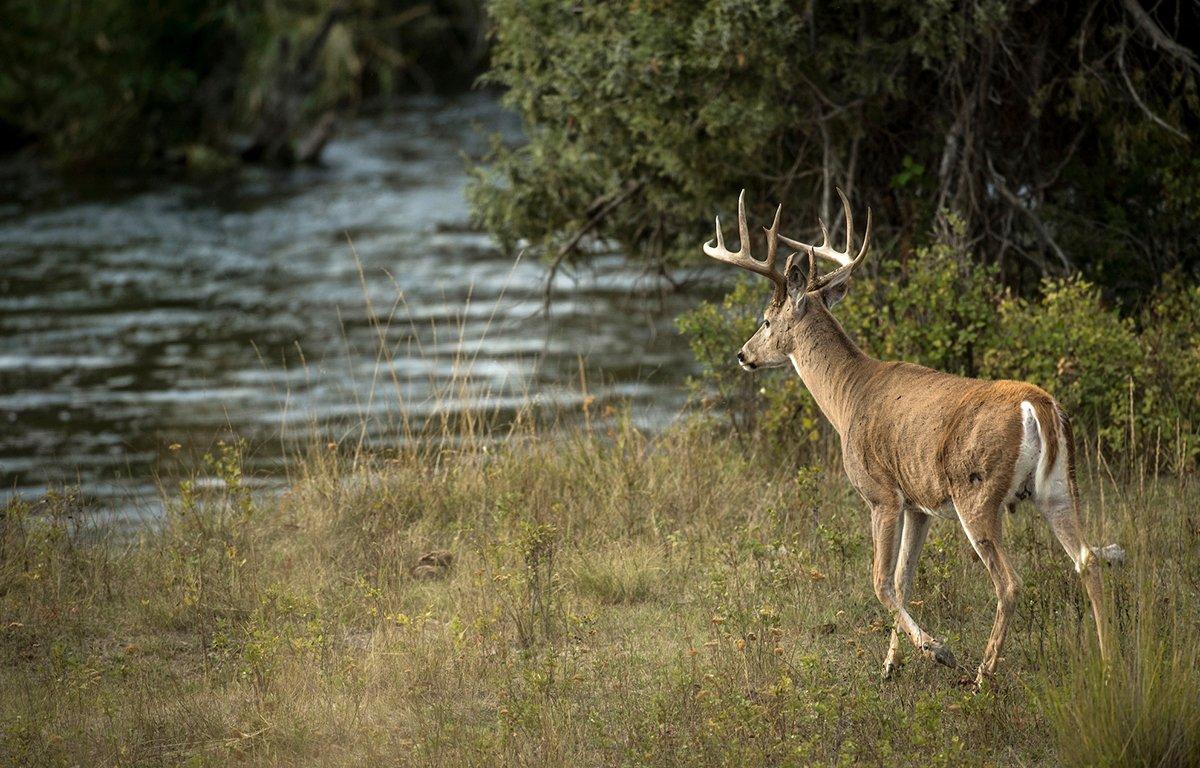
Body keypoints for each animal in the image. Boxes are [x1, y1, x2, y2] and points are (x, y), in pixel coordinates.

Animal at [705, 190, 1118, 681]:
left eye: (767, 320)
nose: (743, 354)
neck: (848, 398)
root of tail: (1037, 406)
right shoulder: (918, 502)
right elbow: (904, 580)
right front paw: (890, 665)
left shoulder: (881, 493)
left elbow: (881, 583)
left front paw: (936, 651)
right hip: (1058, 486)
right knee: (1088, 558)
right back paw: (1107, 661)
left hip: (976, 491)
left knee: (1011, 582)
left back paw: (982, 675)